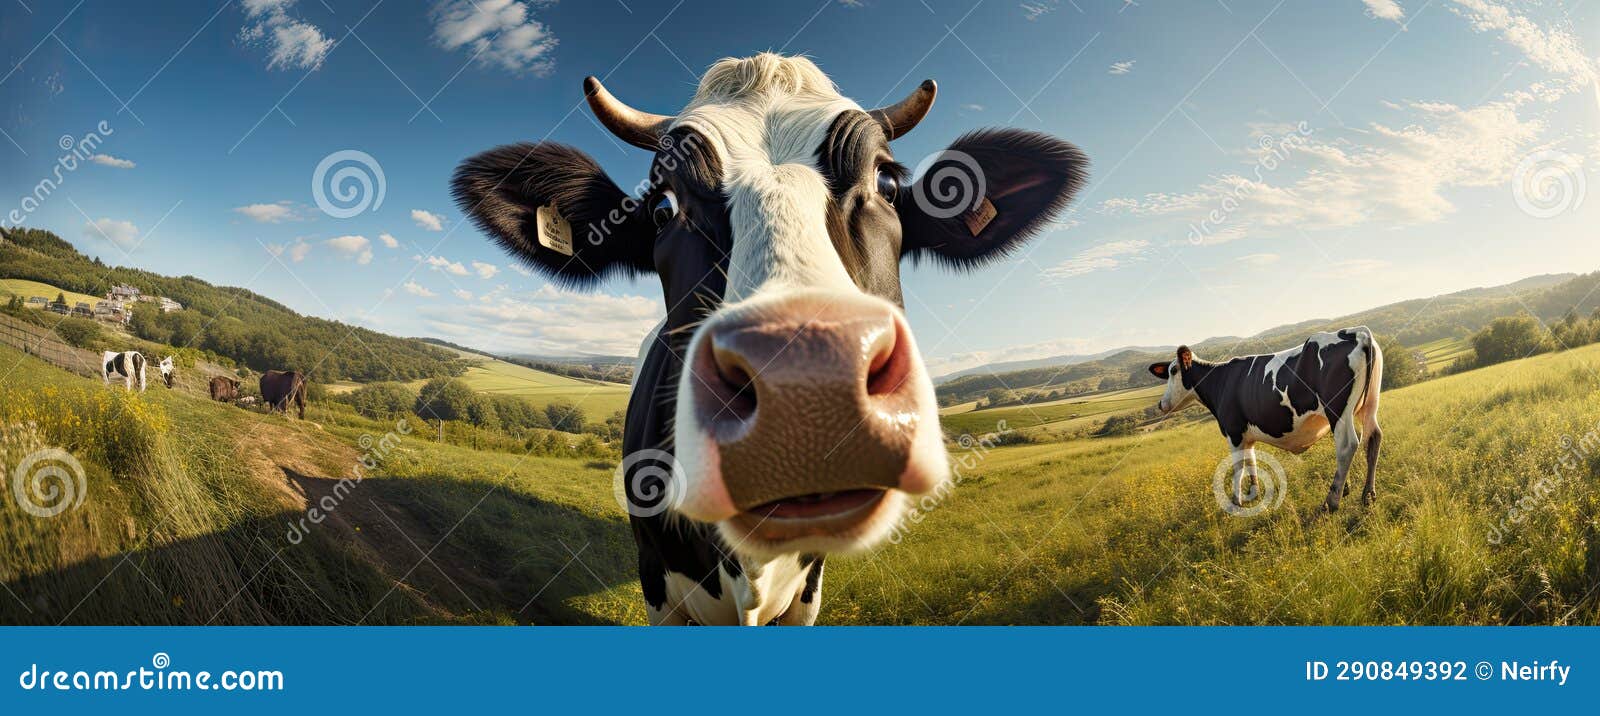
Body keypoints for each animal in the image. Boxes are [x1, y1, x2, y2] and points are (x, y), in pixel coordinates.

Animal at [1147, 327, 1383, 512]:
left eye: (1174, 370)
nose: (1161, 404)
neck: (1220, 382)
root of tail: (1355, 332)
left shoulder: (1233, 431)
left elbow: (1238, 467)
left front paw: (1236, 502)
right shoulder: (1247, 436)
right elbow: (1251, 462)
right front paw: (1255, 493)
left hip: (1338, 411)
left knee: (1347, 445)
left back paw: (1331, 502)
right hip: (1369, 404)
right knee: (1373, 438)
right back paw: (1367, 495)